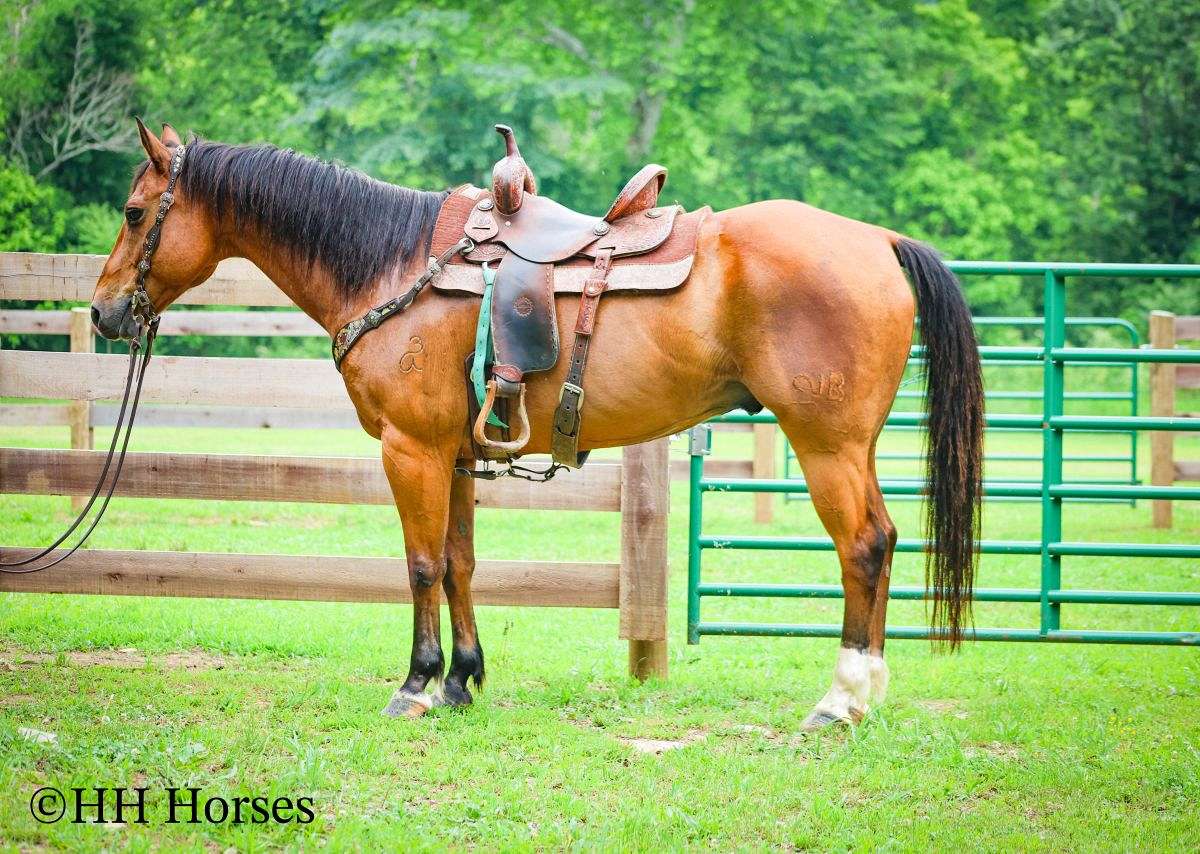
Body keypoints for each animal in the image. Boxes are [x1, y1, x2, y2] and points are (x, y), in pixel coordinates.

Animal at [89, 120, 983, 730]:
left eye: (133, 212)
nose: (102, 313)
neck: (395, 265)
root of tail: (876, 239)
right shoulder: (452, 456)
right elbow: (459, 564)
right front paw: (461, 681)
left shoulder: (411, 451)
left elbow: (420, 566)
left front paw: (415, 685)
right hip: (854, 447)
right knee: (884, 540)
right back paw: (863, 694)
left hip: (827, 445)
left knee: (862, 546)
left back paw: (841, 699)